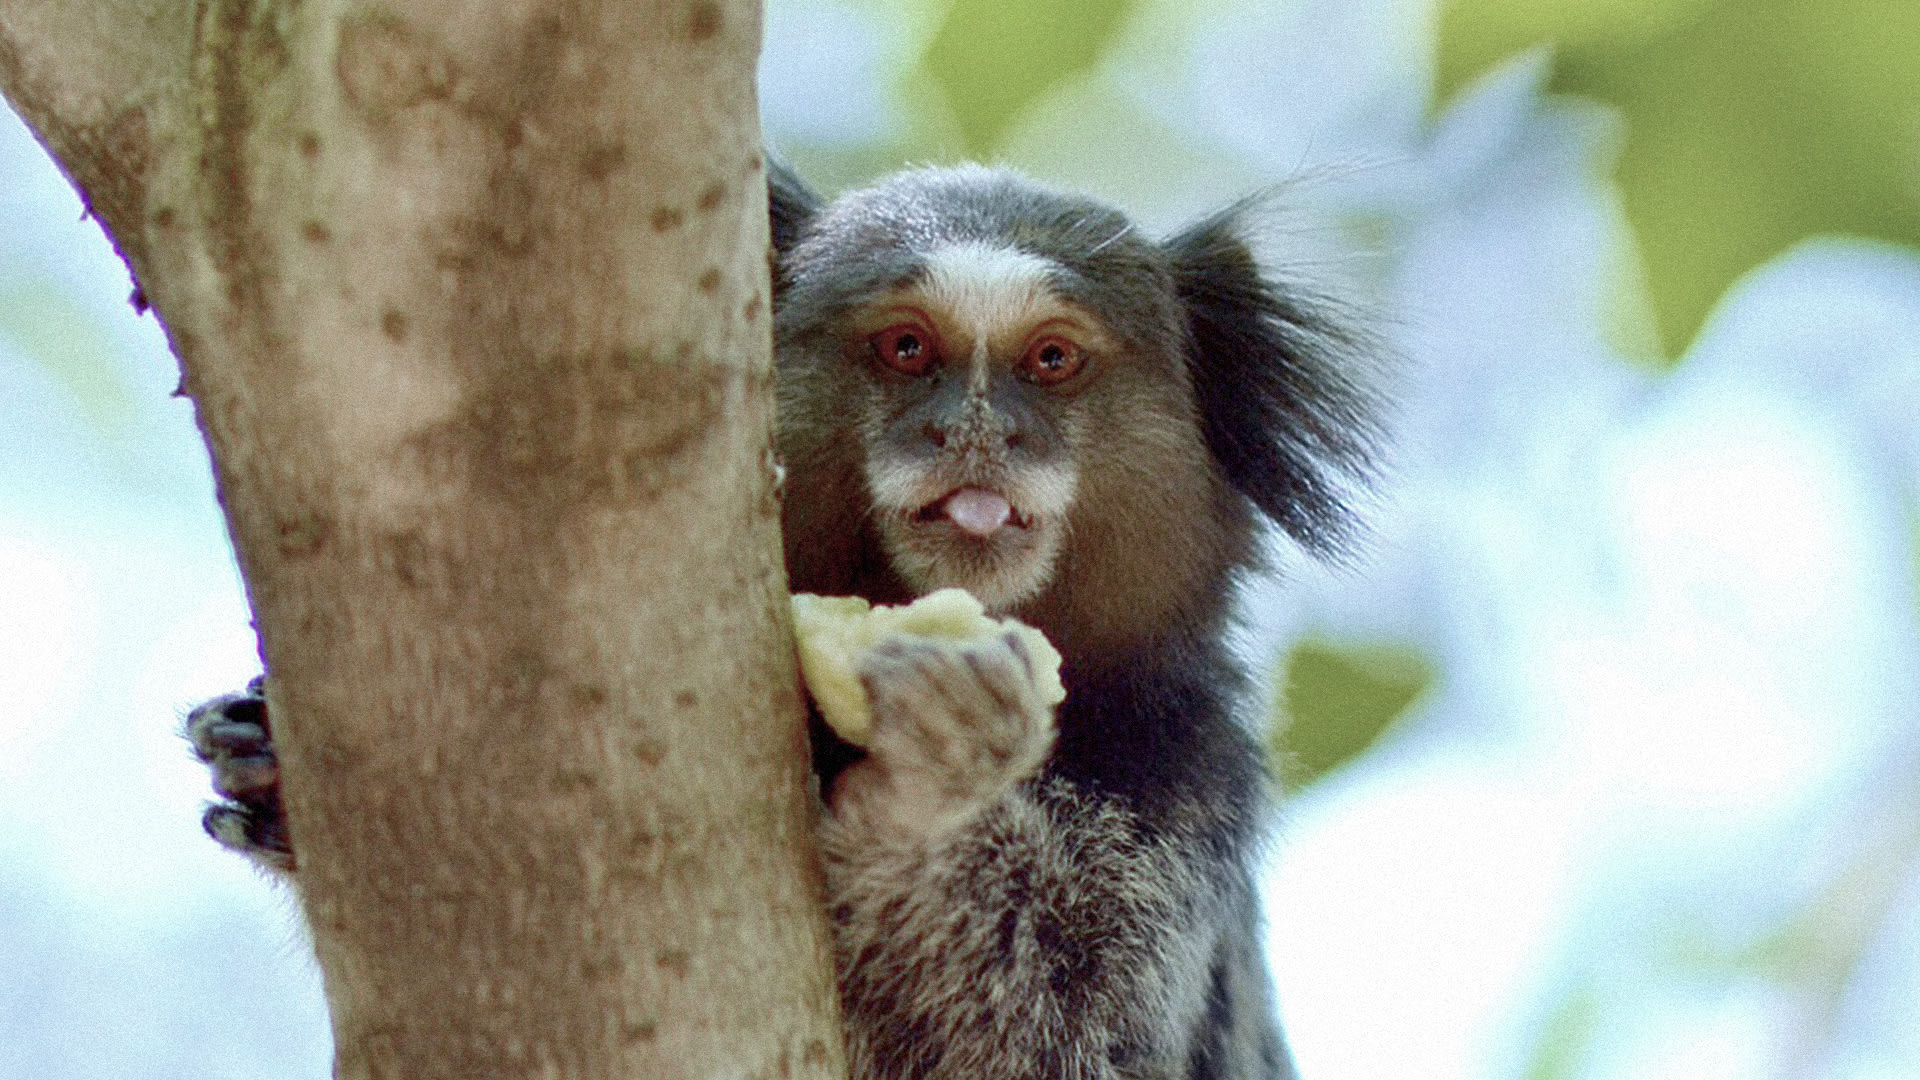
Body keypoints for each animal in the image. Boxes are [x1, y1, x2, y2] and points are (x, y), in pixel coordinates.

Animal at [189, 160, 1383, 1080]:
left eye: (1052, 359)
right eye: (906, 349)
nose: (974, 429)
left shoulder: (1190, 786)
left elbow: (1045, 1040)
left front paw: (923, 793)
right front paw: (270, 766)